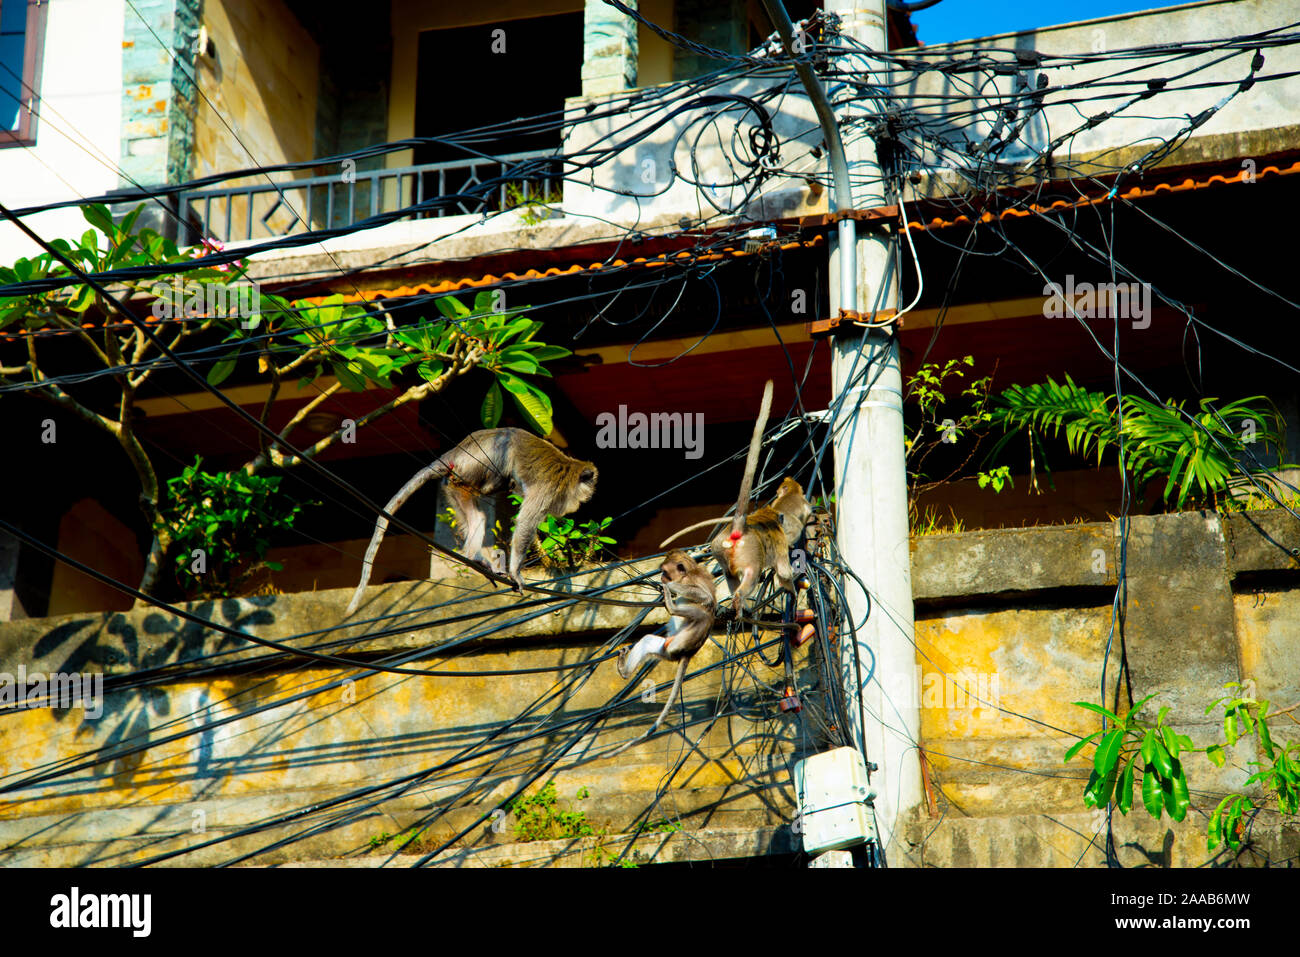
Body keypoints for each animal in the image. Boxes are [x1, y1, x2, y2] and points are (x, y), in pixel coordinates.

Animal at [345, 428, 597, 614]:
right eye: (587, 491)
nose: (584, 501)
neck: (569, 471)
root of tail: (455, 452)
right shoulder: (547, 489)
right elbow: (525, 522)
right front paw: (515, 571)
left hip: (457, 485)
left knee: (478, 517)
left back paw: (474, 557)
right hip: (474, 463)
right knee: (506, 442)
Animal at [607, 549, 717, 757]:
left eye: (665, 571)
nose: (662, 577)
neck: (687, 572)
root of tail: (688, 652)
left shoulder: (690, 581)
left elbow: (705, 597)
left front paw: (669, 586)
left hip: (687, 638)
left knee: (702, 613)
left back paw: (672, 606)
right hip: (666, 647)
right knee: (648, 640)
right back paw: (624, 671)